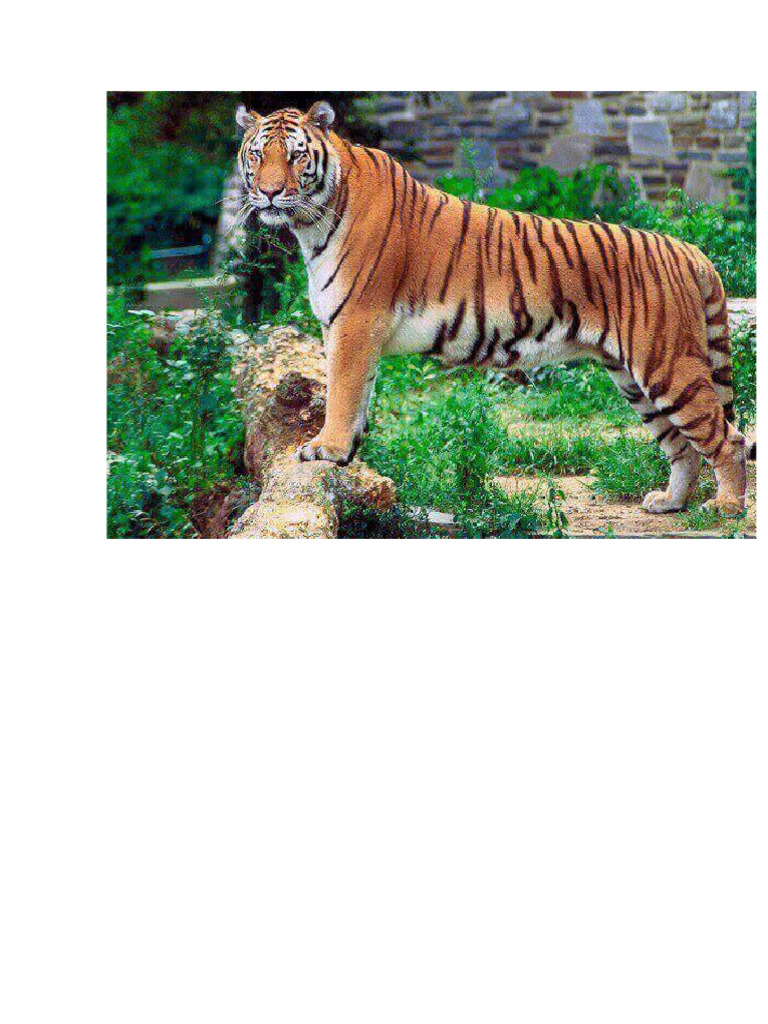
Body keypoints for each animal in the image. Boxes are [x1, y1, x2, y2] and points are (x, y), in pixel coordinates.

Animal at [236, 100, 751, 516]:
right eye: (257, 155)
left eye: (296, 155)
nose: (270, 193)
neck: (312, 223)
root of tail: (688, 249)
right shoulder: (346, 329)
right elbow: (358, 395)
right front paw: (345, 456)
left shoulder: (356, 322)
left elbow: (341, 394)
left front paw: (325, 448)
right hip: (633, 378)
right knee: (683, 447)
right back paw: (669, 503)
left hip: (667, 365)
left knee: (728, 438)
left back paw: (725, 508)